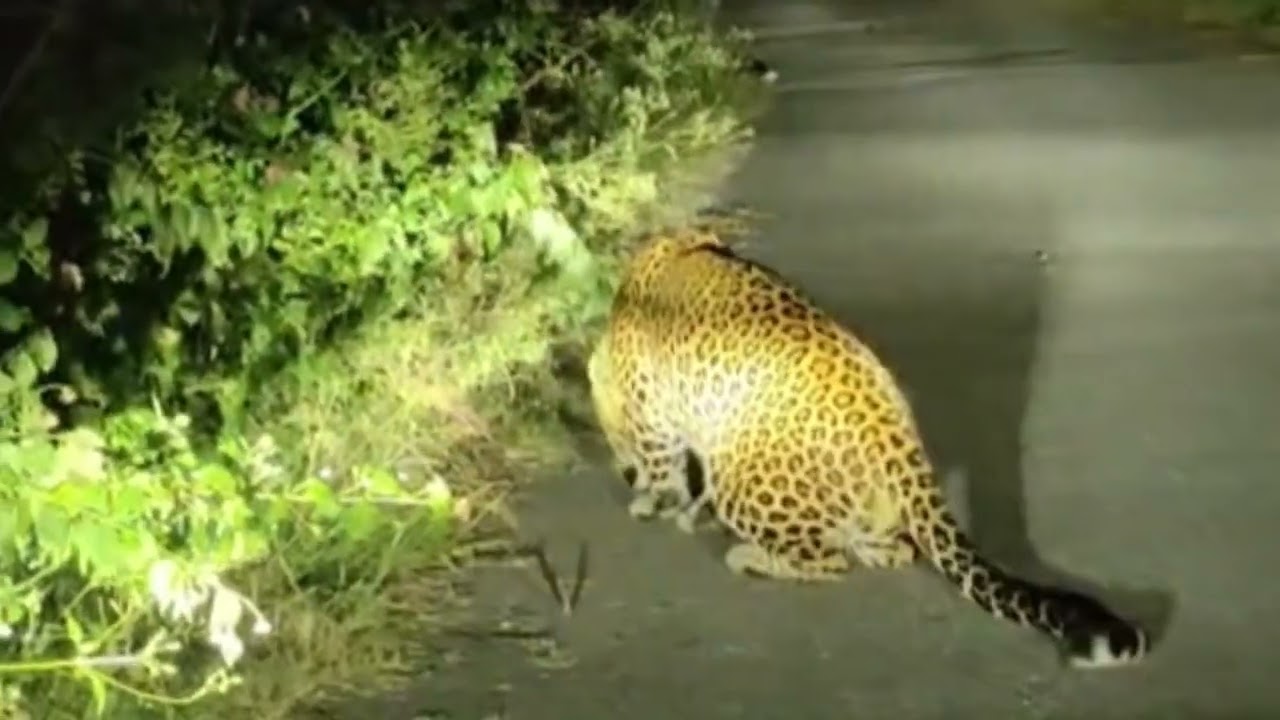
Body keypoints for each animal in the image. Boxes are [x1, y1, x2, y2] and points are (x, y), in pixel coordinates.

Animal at [586, 225, 1149, 669]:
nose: (623, 474)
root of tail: (897, 438)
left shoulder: (654, 417)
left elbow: (666, 469)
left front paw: (655, 501)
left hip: (745, 485)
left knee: (831, 562)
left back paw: (747, 555)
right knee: (896, 549)